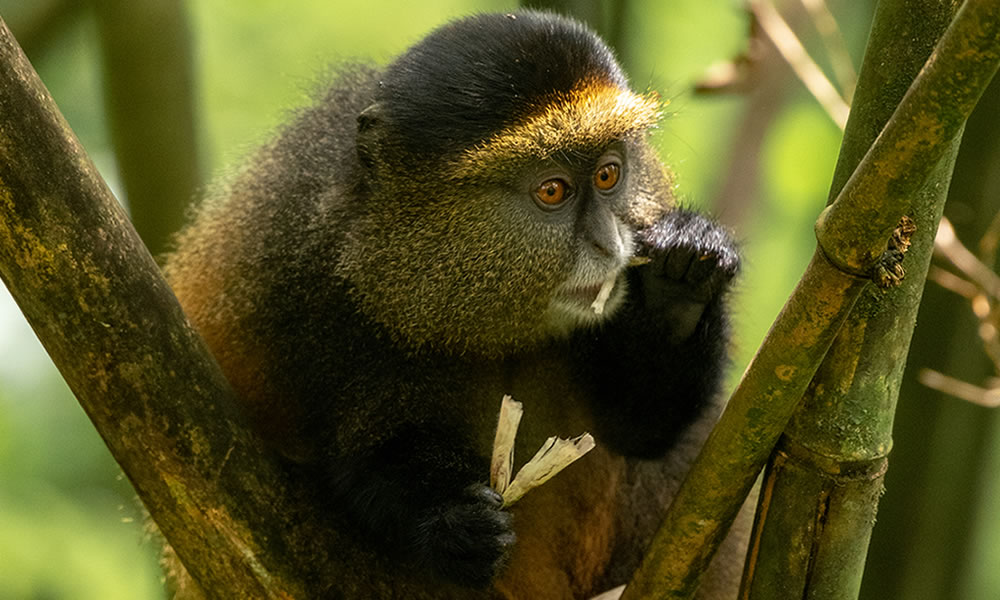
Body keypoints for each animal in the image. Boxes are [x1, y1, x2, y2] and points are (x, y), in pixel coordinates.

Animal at [163, 10, 747, 600]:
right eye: (553, 191)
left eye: (609, 174)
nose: (609, 245)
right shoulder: (301, 277)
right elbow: (365, 462)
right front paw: (452, 523)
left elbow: (644, 429)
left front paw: (679, 283)